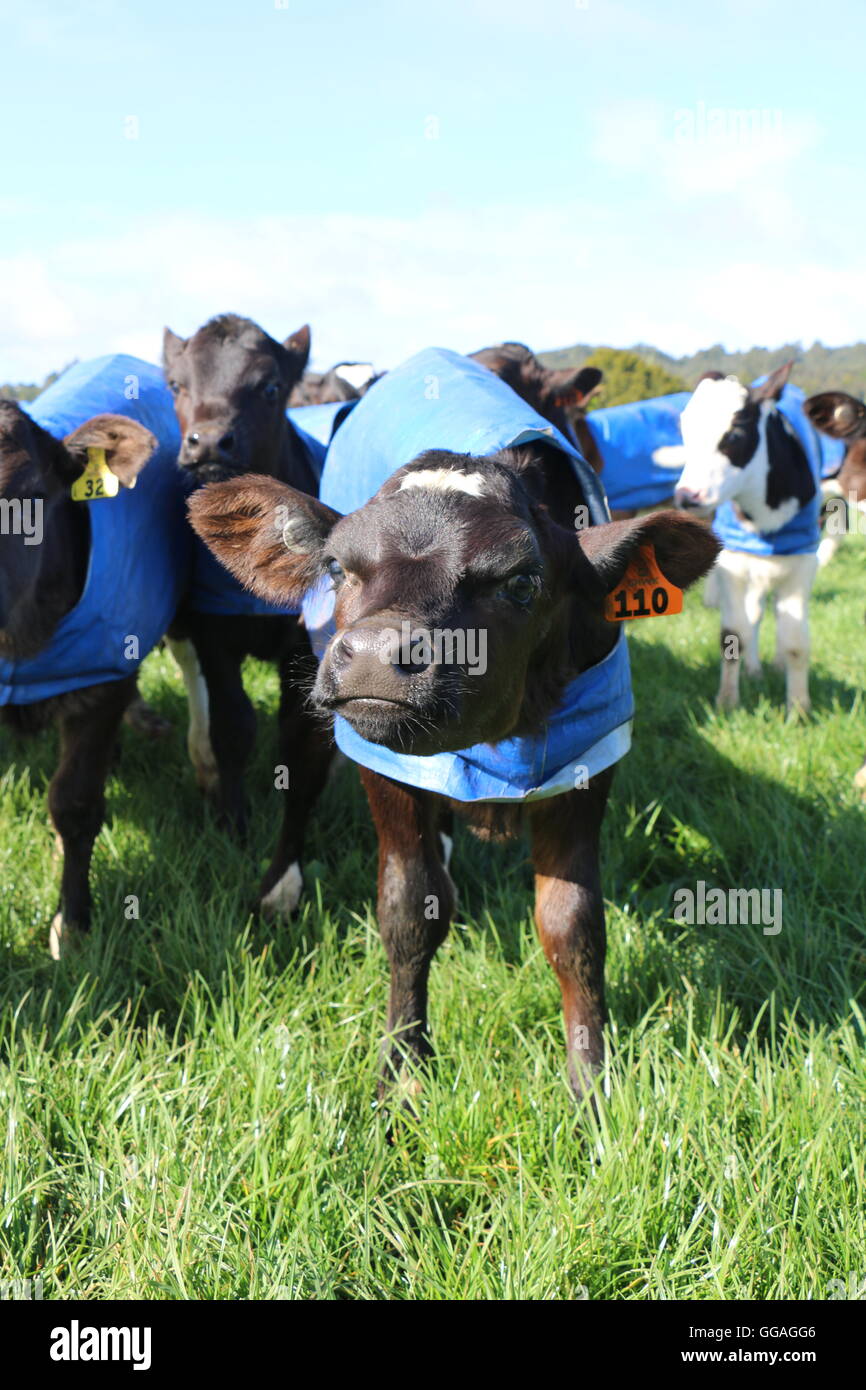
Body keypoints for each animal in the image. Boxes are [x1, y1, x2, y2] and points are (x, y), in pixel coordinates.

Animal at [163, 313, 335, 918]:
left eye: (270, 387)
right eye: (176, 384)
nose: (209, 441)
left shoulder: (309, 650)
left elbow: (302, 747)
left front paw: (283, 880)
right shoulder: (211, 632)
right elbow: (232, 726)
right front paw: (232, 826)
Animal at [187, 347, 717, 1103]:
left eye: (521, 581)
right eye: (336, 567)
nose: (374, 655)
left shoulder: (590, 755)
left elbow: (574, 927)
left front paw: (590, 1085)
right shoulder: (384, 764)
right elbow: (409, 909)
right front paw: (401, 1070)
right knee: (304, 775)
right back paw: (281, 885)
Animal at [673, 363, 822, 716]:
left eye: (735, 435)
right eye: (685, 431)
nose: (687, 496)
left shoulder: (804, 564)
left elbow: (796, 640)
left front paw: (798, 709)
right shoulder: (732, 565)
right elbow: (734, 633)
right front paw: (727, 701)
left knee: (778, 615)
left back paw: (777, 665)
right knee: (754, 614)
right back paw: (754, 669)